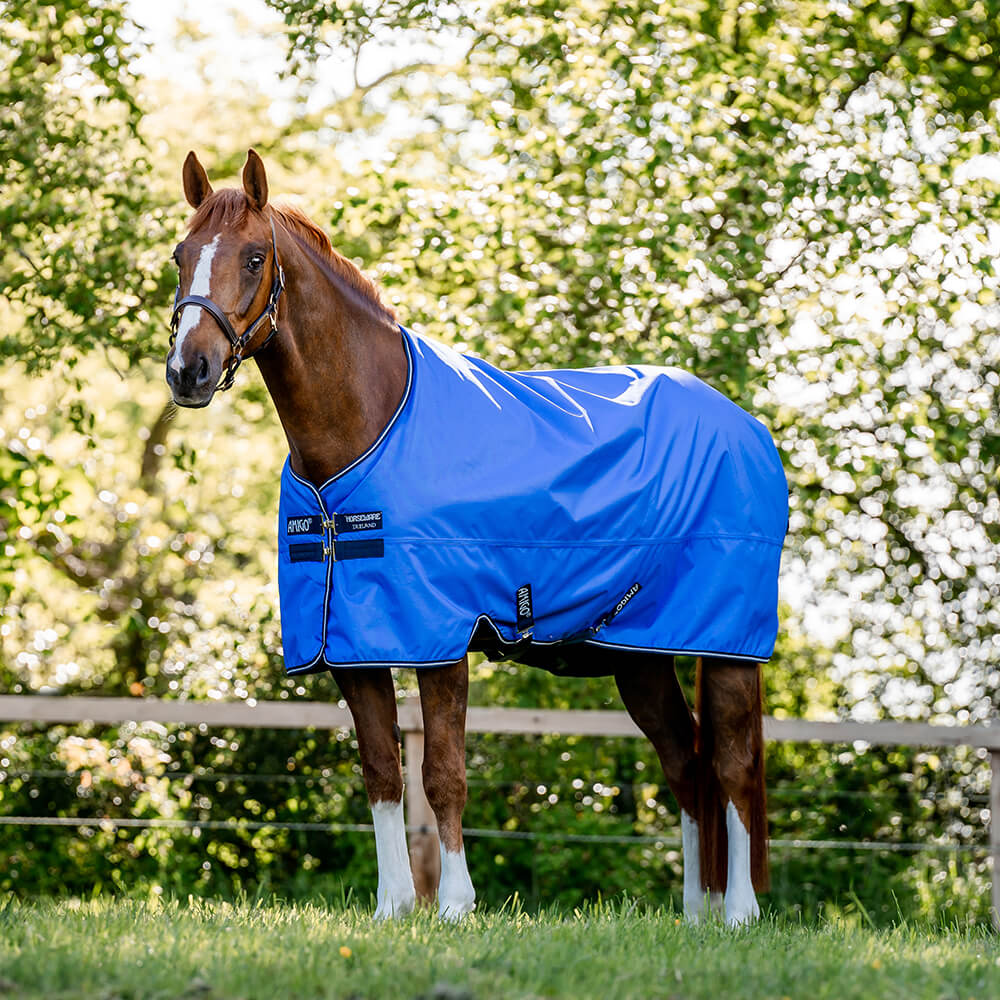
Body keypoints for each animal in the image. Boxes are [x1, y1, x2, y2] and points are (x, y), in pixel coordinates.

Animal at [165, 149, 782, 926]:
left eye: (253, 257)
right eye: (180, 255)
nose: (188, 371)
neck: (365, 429)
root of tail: (746, 426)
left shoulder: (442, 639)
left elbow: (443, 773)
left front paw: (456, 906)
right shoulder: (352, 647)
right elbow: (382, 772)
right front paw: (393, 907)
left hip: (727, 648)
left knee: (730, 762)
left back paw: (739, 913)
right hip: (640, 655)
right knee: (688, 761)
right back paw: (697, 916)